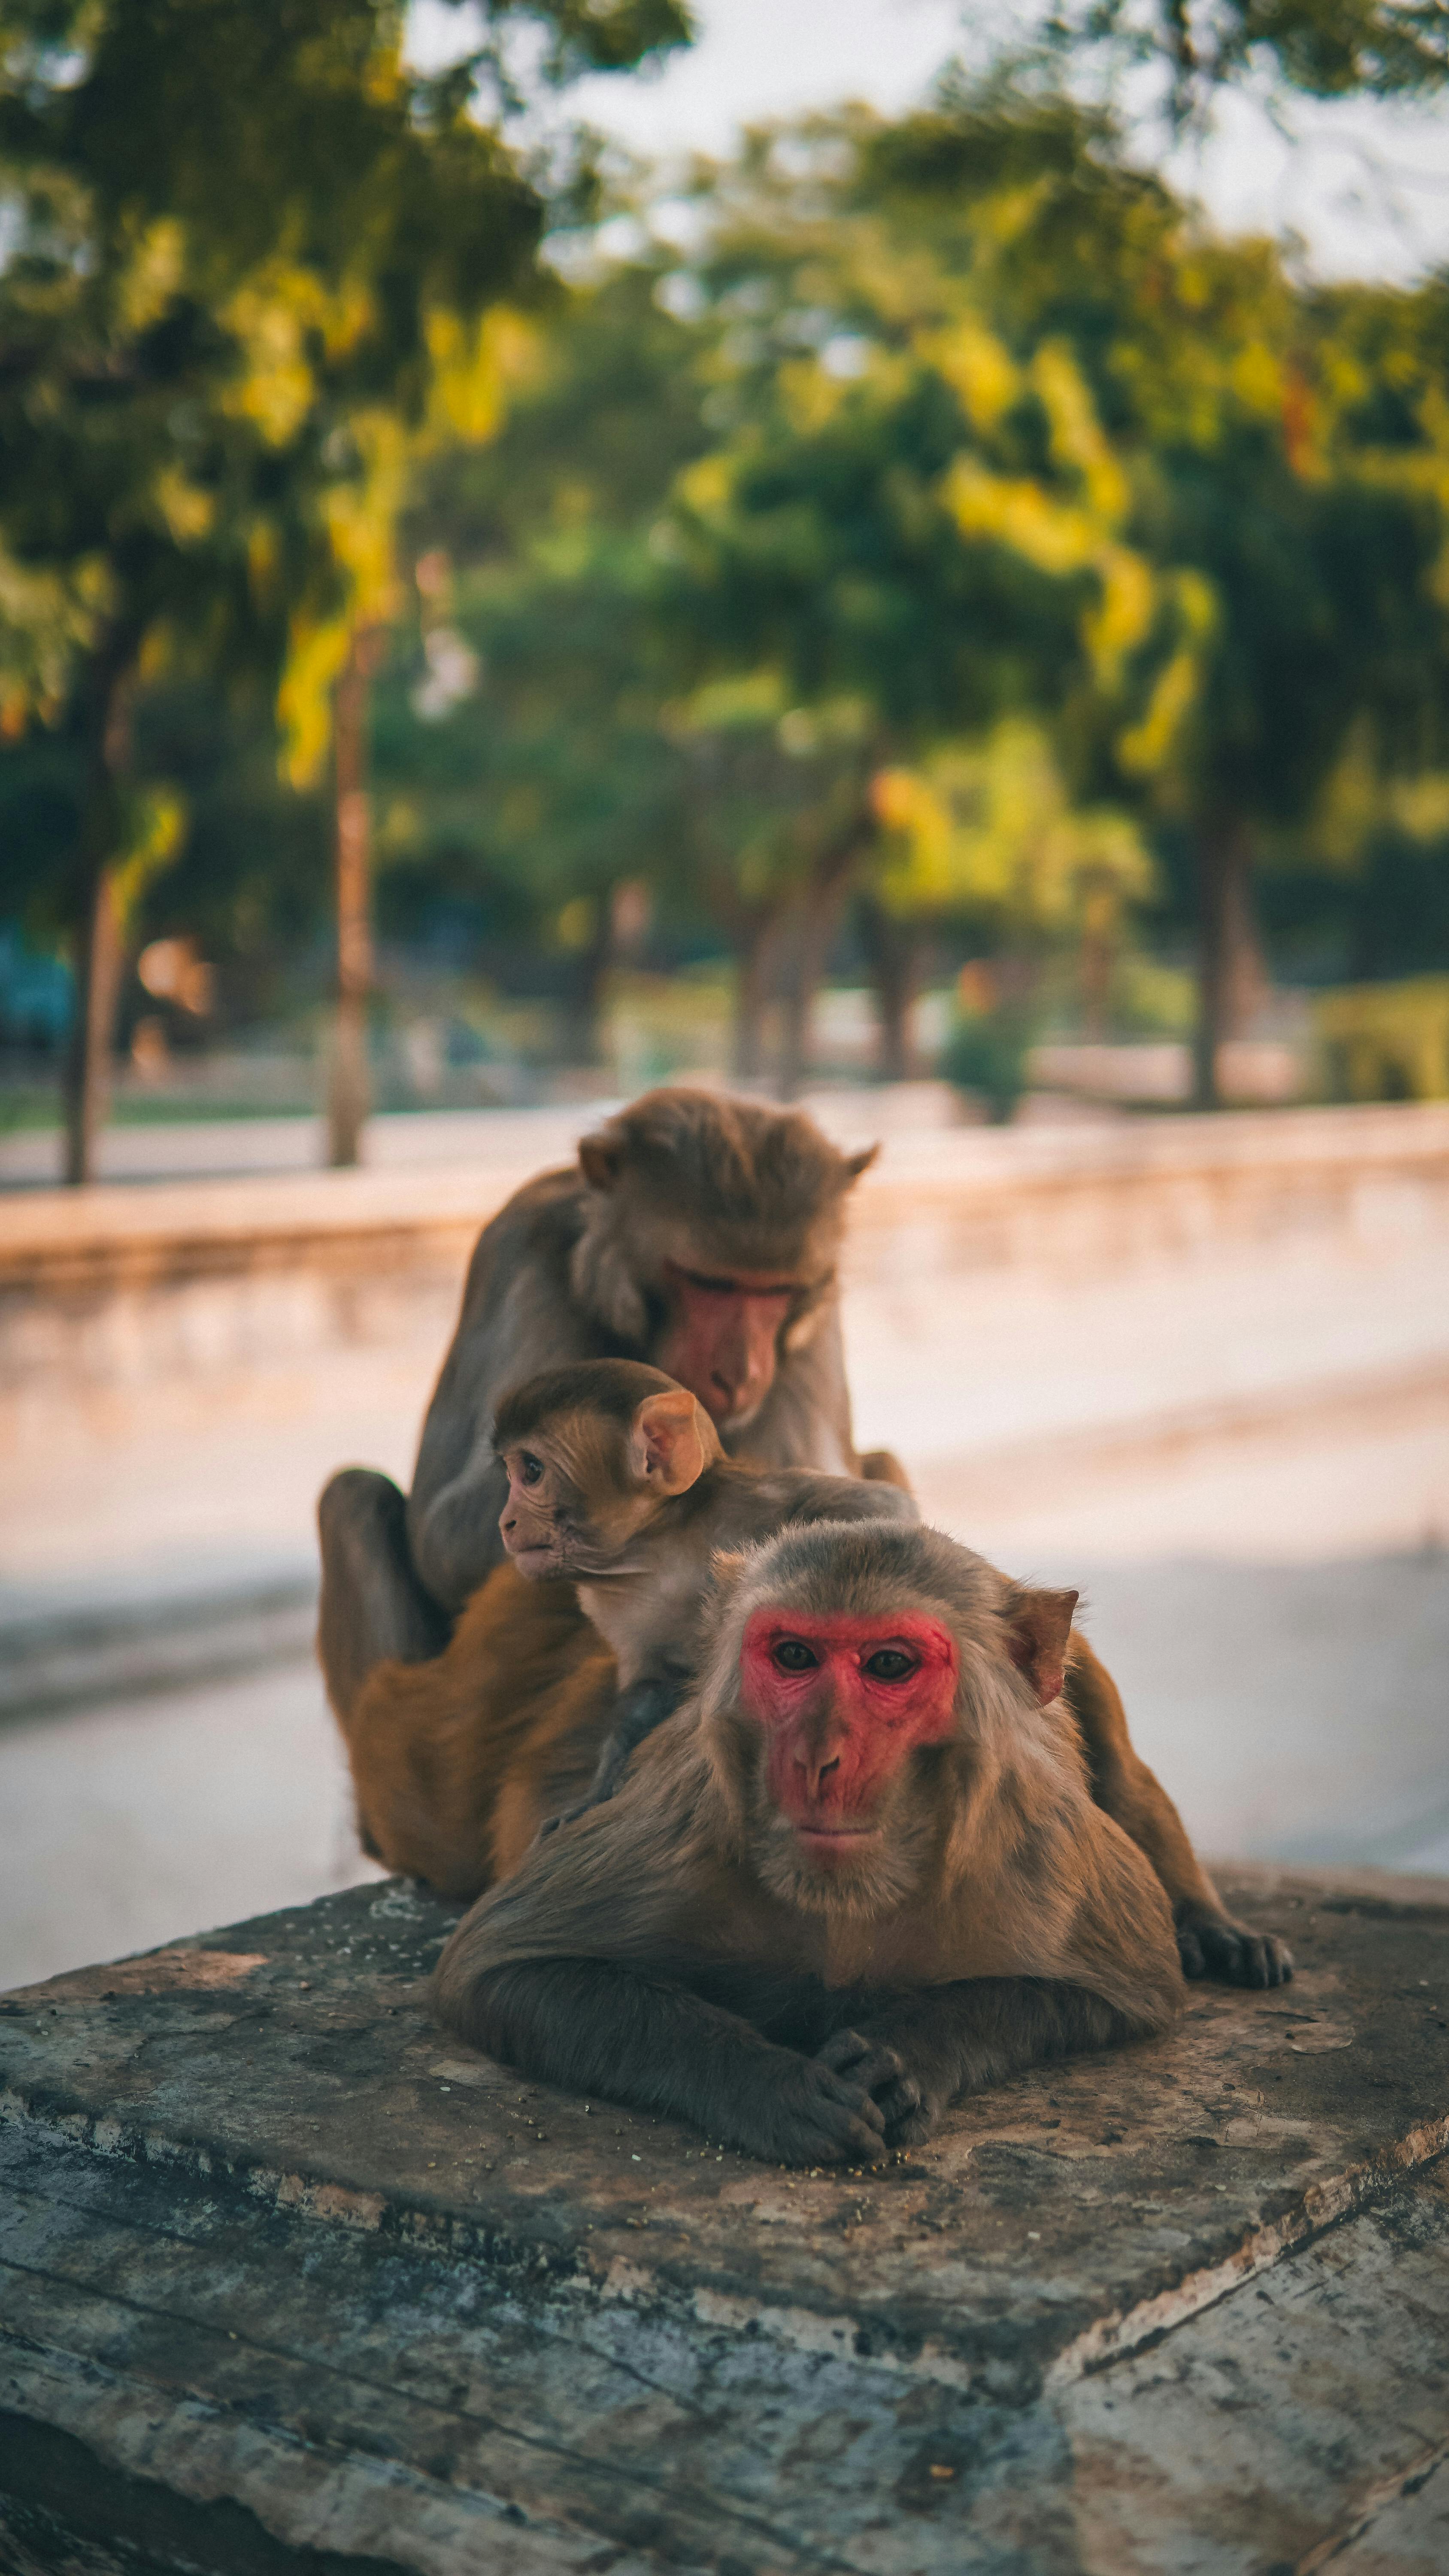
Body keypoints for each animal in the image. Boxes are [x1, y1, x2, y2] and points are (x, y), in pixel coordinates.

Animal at [318, 1086, 905, 1734]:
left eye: (774, 1292)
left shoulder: (814, 1319)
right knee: (351, 1498)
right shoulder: (524, 1254)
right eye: (709, 1283)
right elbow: (439, 1537)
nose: (741, 1373)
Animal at [432, 1519, 1191, 2165]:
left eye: (889, 1665)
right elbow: (496, 1967)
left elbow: (1136, 1988)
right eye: (794, 1655)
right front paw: (769, 2087)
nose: (817, 1757)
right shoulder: (679, 1829)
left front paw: (909, 2054)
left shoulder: (1039, 1846)